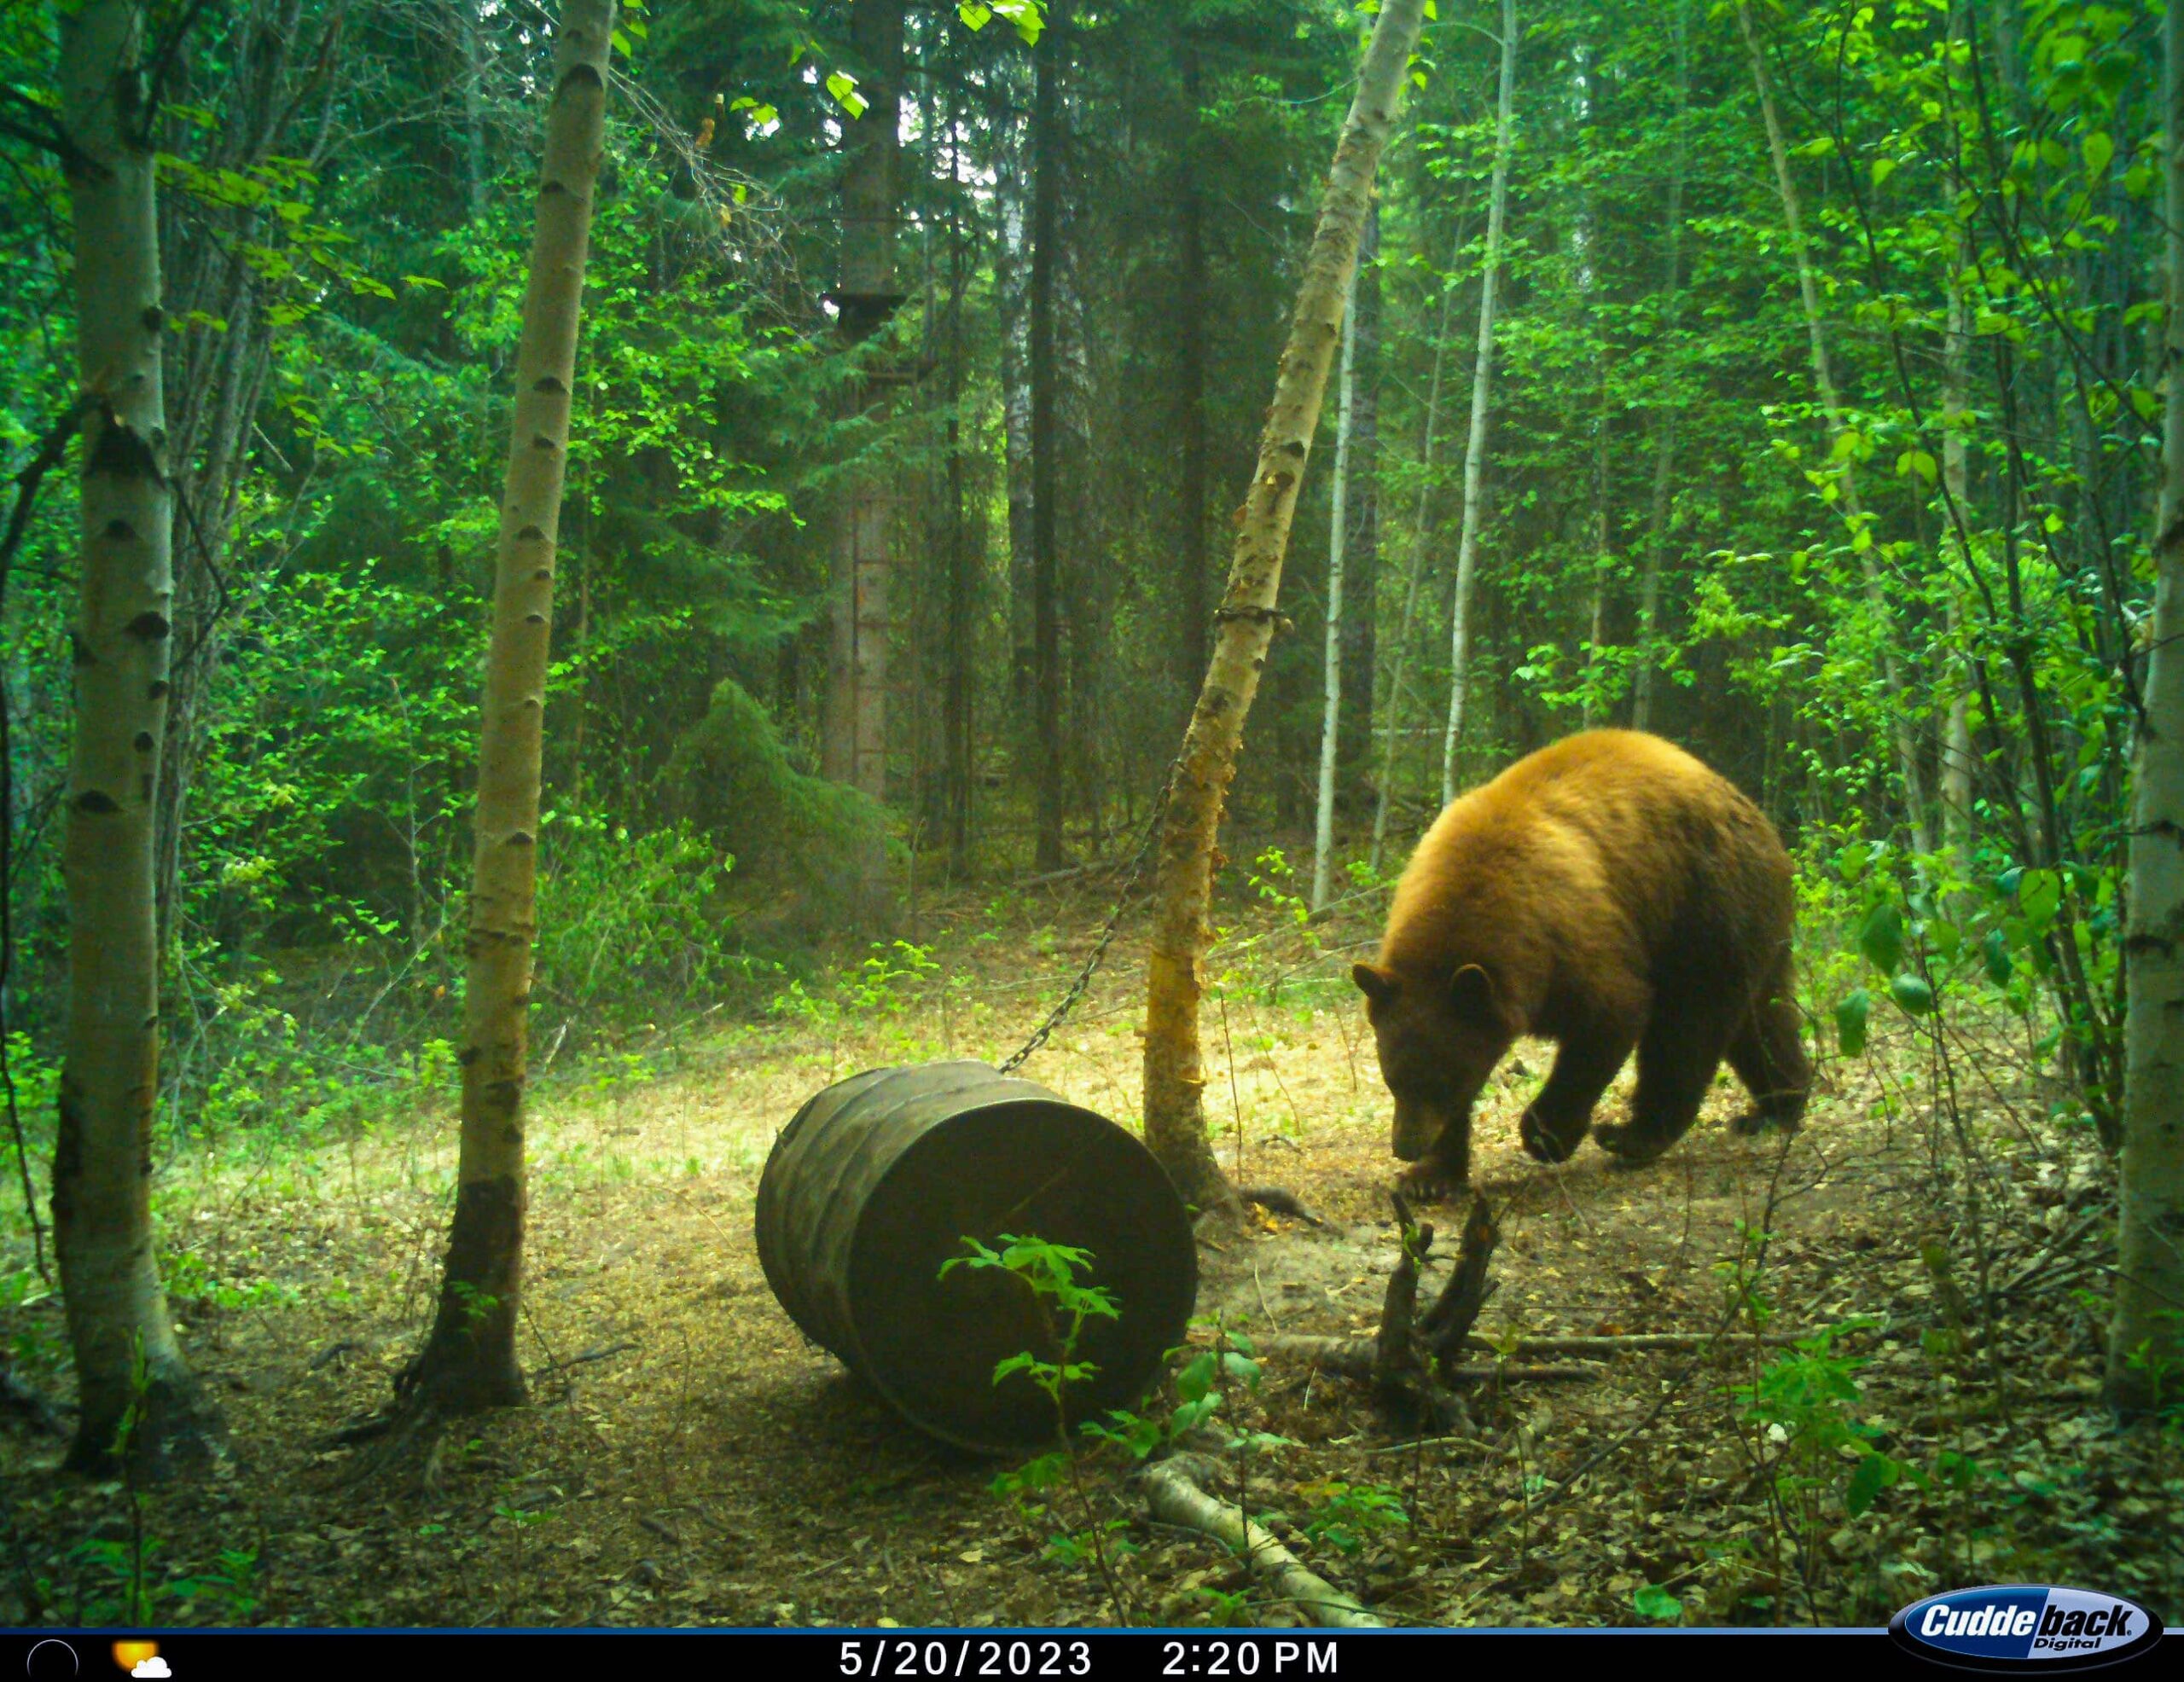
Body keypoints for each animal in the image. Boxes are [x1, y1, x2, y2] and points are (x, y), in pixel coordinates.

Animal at [1351, 730, 1811, 1199]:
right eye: (1392, 1079)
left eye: (1443, 1082)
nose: (1405, 1146)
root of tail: (1754, 815)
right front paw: (1429, 1176)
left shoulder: (1569, 939)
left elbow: (1610, 1015)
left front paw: (1546, 1135)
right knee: (1763, 1019)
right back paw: (1779, 1104)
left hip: (1704, 907)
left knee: (1689, 1025)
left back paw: (1633, 1135)